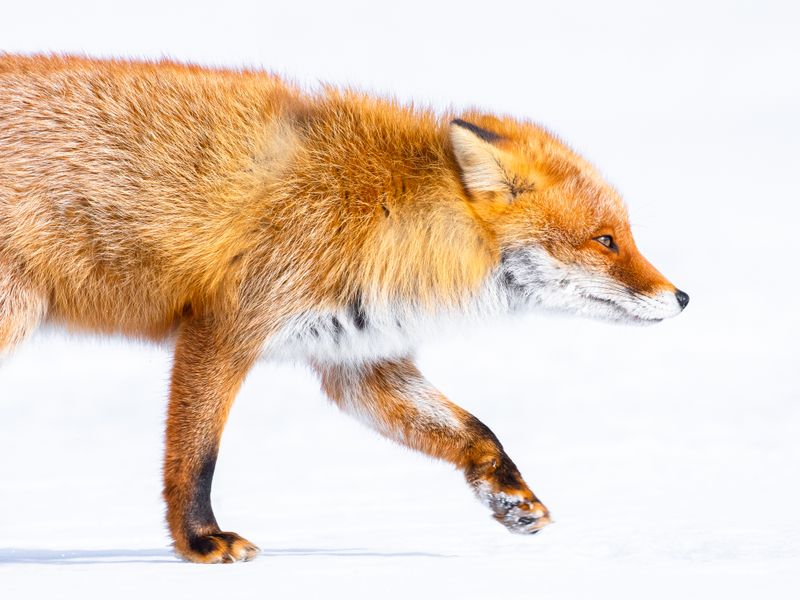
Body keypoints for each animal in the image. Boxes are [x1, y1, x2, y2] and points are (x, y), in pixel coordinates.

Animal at [0, 54, 688, 563]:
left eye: (624, 235)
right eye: (606, 240)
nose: (682, 297)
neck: (381, 215)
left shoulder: (359, 359)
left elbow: (476, 431)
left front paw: (510, 497)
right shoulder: (228, 327)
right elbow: (195, 457)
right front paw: (200, 541)